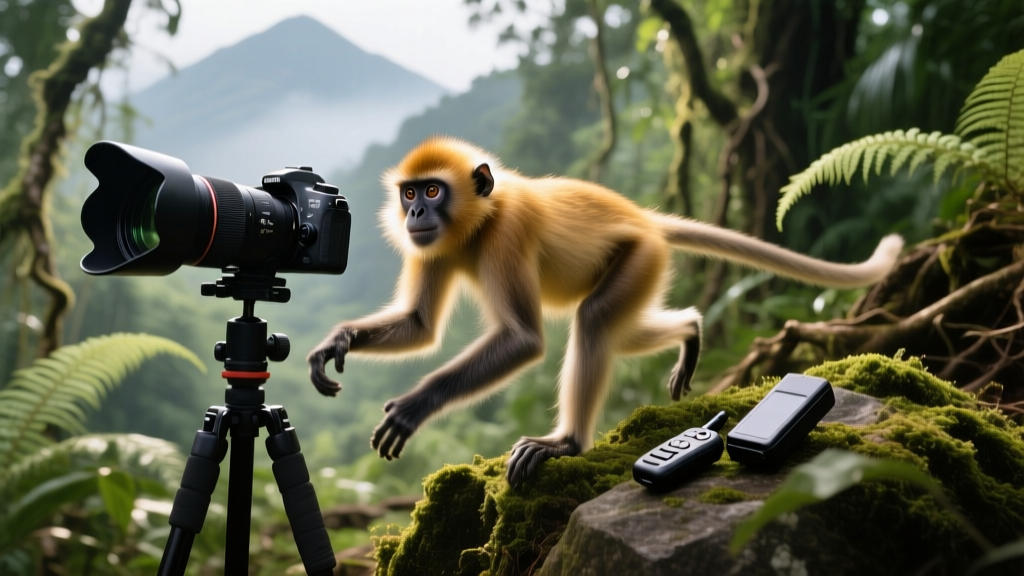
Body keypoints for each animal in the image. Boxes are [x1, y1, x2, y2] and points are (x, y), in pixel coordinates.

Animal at [307, 136, 904, 486]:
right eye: (409, 194)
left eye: (433, 190)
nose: (414, 214)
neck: (478, 223)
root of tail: (645, 219)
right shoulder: (434, 246)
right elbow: (421, 327)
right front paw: (336, 344)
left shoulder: (507, 235)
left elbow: (523, 340)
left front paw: (414, 407)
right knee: (622, 326)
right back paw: (691, 331)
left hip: (640, 259)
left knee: (594, 320)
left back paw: (566, 444)